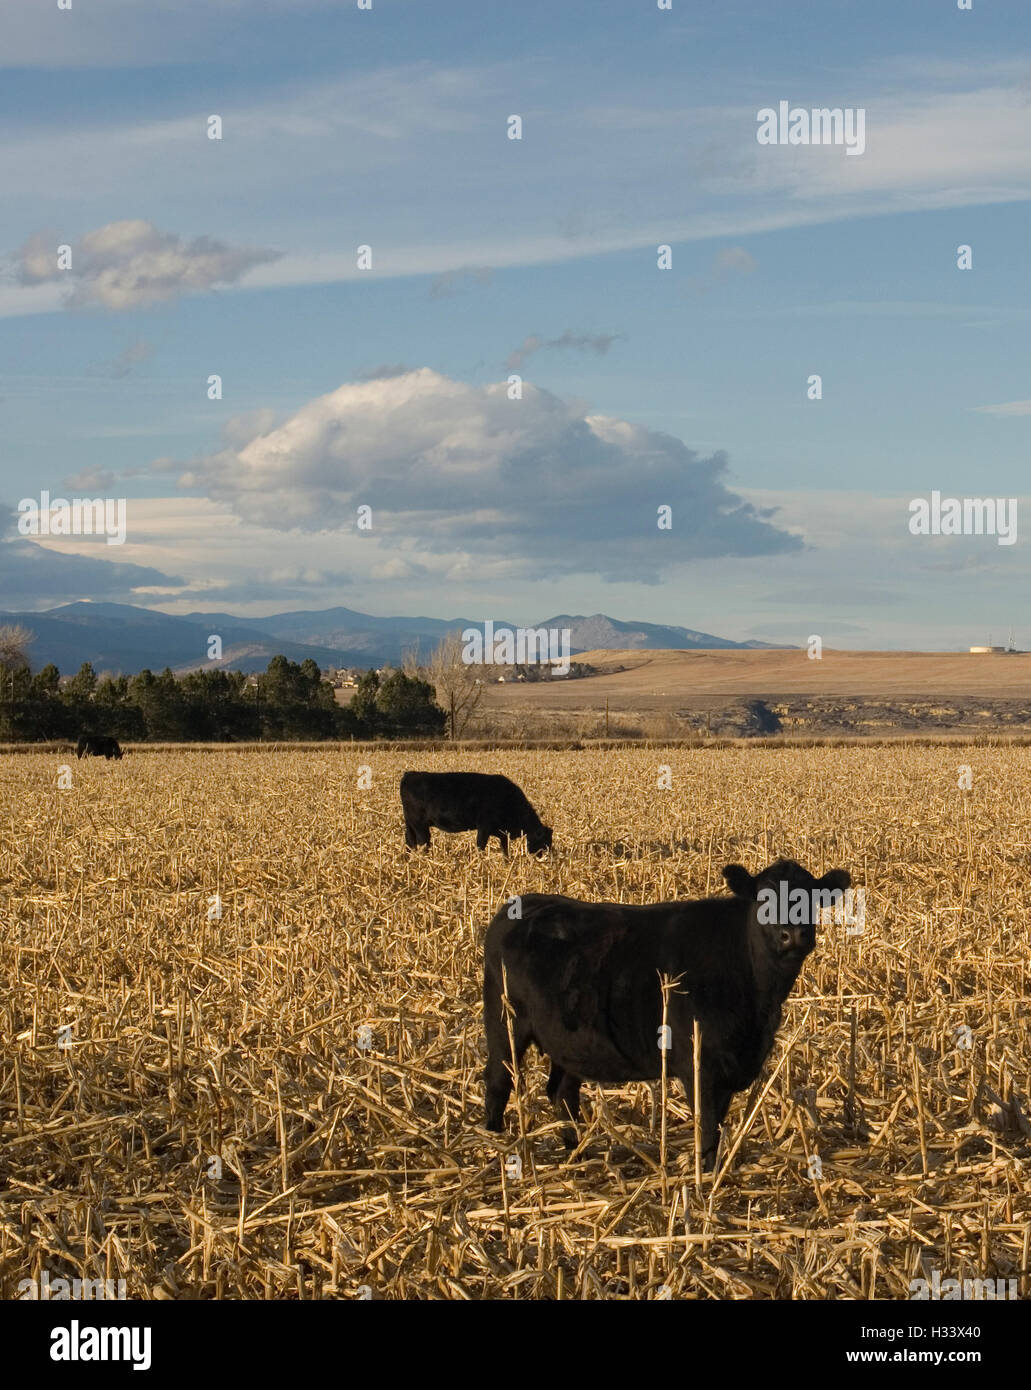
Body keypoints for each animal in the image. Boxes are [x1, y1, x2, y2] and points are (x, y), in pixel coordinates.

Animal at [400, 771, 552, 856]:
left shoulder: (501, 831)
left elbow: (505, 848)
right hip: (420, 825)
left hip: (410, 824)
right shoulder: (484, 827)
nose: (547, 859)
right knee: (423, 843)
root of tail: (411, 774)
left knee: (409, 841)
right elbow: (480, 846)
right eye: (544, 842)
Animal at [482, 858, 850, 1167]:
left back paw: (575, 1151)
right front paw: (705, 1179)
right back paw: (493, 1143)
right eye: (764, 898)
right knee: (498, 1081)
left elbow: (718, 1124)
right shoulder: (699, 1063)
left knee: (561, 1092)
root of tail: (520, 905)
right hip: (505, 1023)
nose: (793, 935)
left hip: (570, 1041)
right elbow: (707, 1126)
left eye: (813, 898)